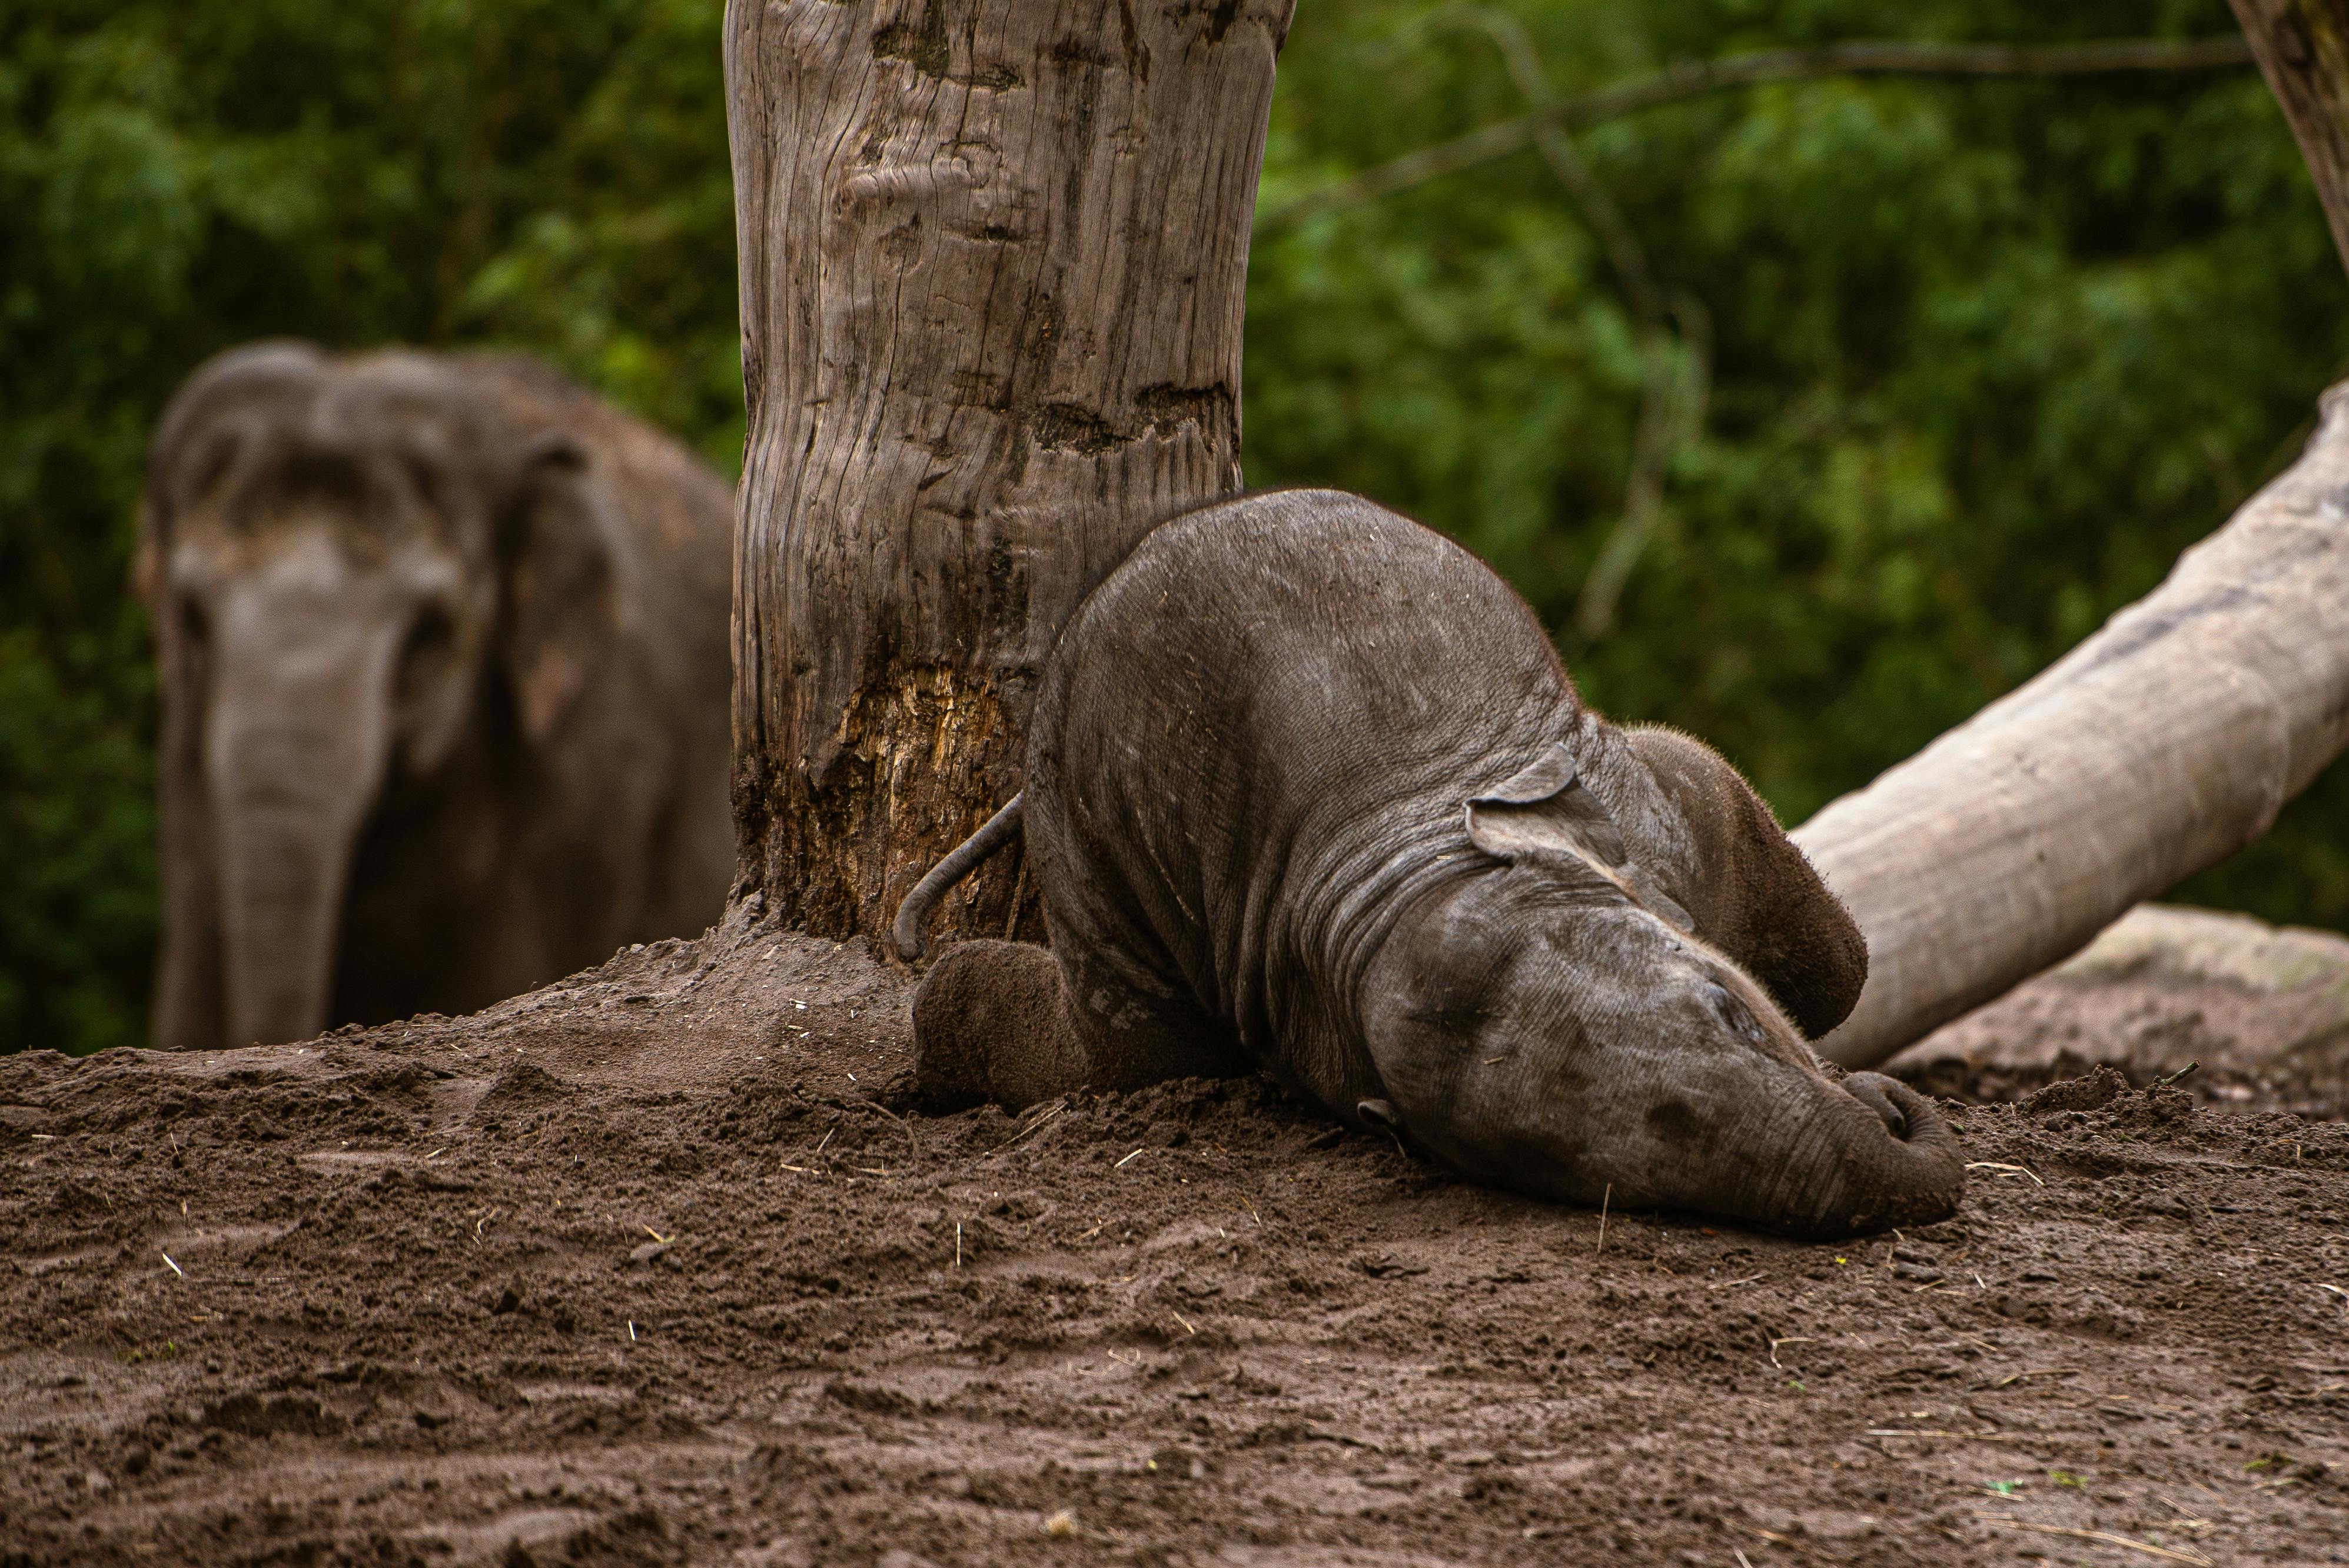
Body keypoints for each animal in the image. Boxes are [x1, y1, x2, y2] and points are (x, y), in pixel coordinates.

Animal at [896, 489, 1965, 1238]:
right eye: (1603, 1183)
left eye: (1732, 1015)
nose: (1885, 1102)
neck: (1417, 869)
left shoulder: (1651, 799)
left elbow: (1833, 953)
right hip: (1079, 841)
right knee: (1131, 1049)